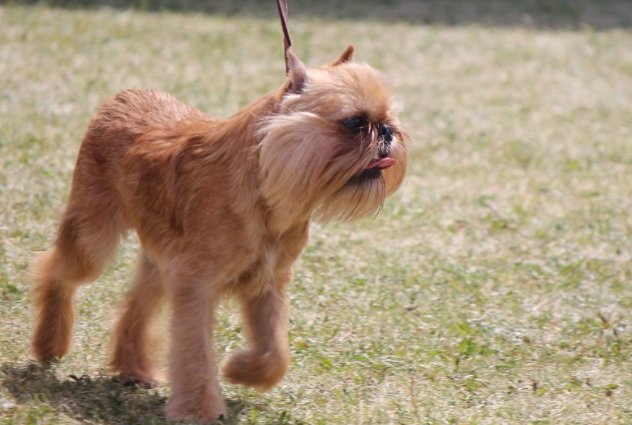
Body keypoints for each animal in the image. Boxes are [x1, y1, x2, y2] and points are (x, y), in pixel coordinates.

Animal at [29, 47, 408, 420]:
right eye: (355, 122)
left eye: (388, 120)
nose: (387, 131)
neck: (266, 179)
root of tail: (123, 96)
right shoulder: (195, 285)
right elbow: (194, 353)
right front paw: (199, 410)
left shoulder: (266, 284)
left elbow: (274, 353)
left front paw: (239, 370)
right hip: (93, 239)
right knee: (54, 269)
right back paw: (49, 344)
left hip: (161, 261)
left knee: (136, 304)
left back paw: (133, 369)